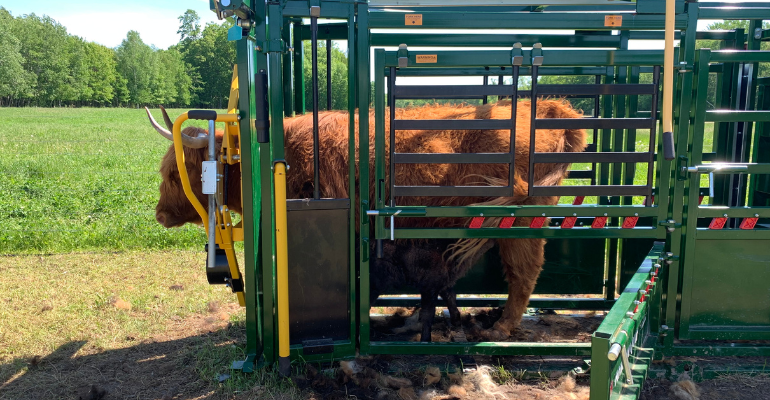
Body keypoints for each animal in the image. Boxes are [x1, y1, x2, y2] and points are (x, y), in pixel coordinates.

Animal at [145, 100, 587, 341]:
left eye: (174, 175)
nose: (159, 214)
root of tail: (549, 108)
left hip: (521, 222)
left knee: (524, 273)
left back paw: (501, 328)